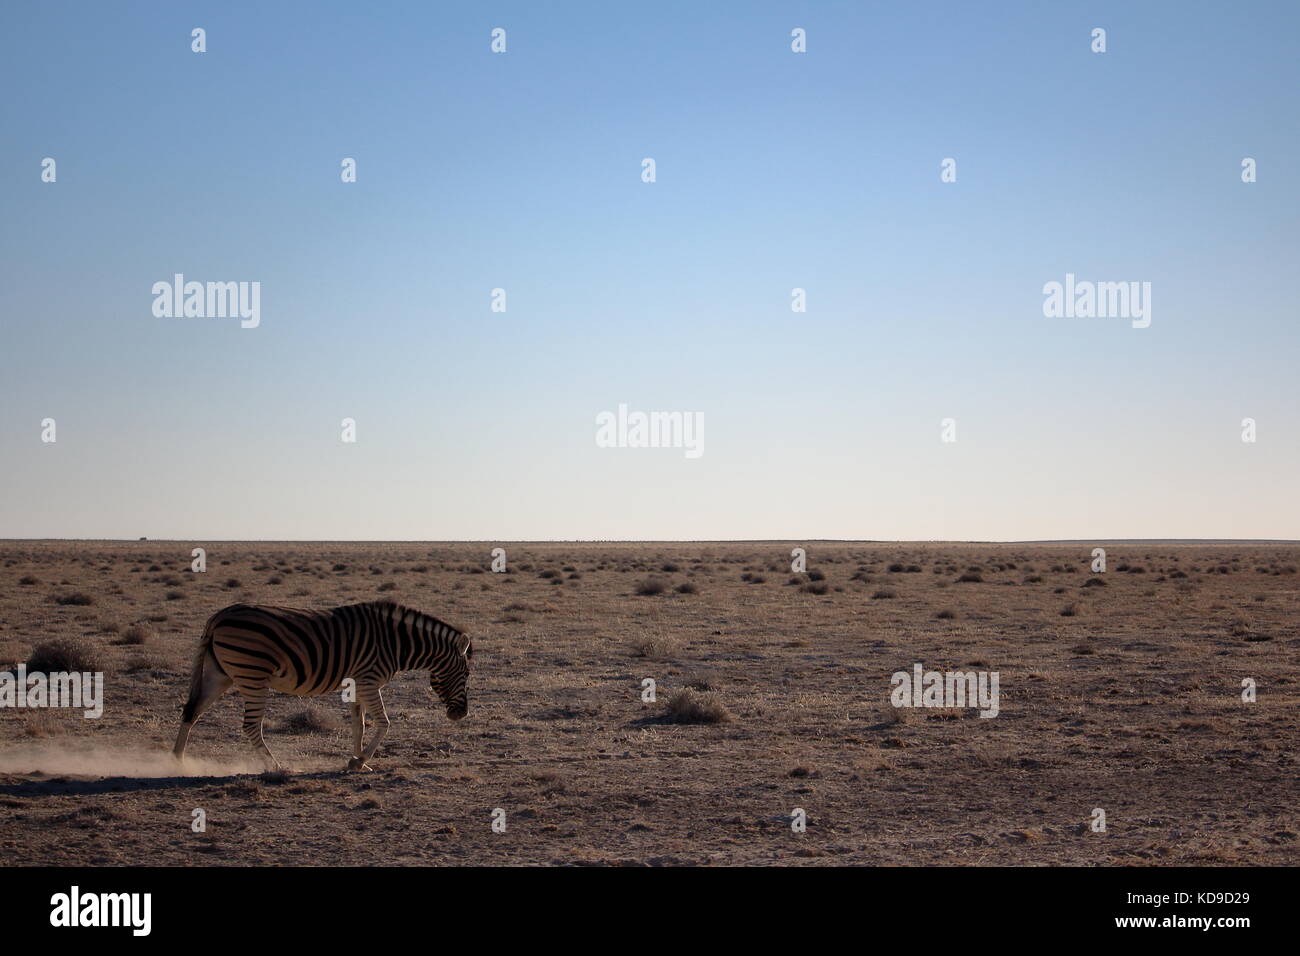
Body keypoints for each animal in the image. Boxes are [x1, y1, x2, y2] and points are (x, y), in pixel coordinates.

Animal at [172, 600, 473, 771]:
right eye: (466, 675)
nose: (462, 715)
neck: (395, 642)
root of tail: (219, 616)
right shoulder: (369, 680)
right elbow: (384, 723)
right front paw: (361, 760)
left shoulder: (358, 683)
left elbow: (359, 725)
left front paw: (356, 762)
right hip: (252, 675)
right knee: (249, 726)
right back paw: (277, 767)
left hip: (220, 673)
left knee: (191, 711)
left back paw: (177, 761)